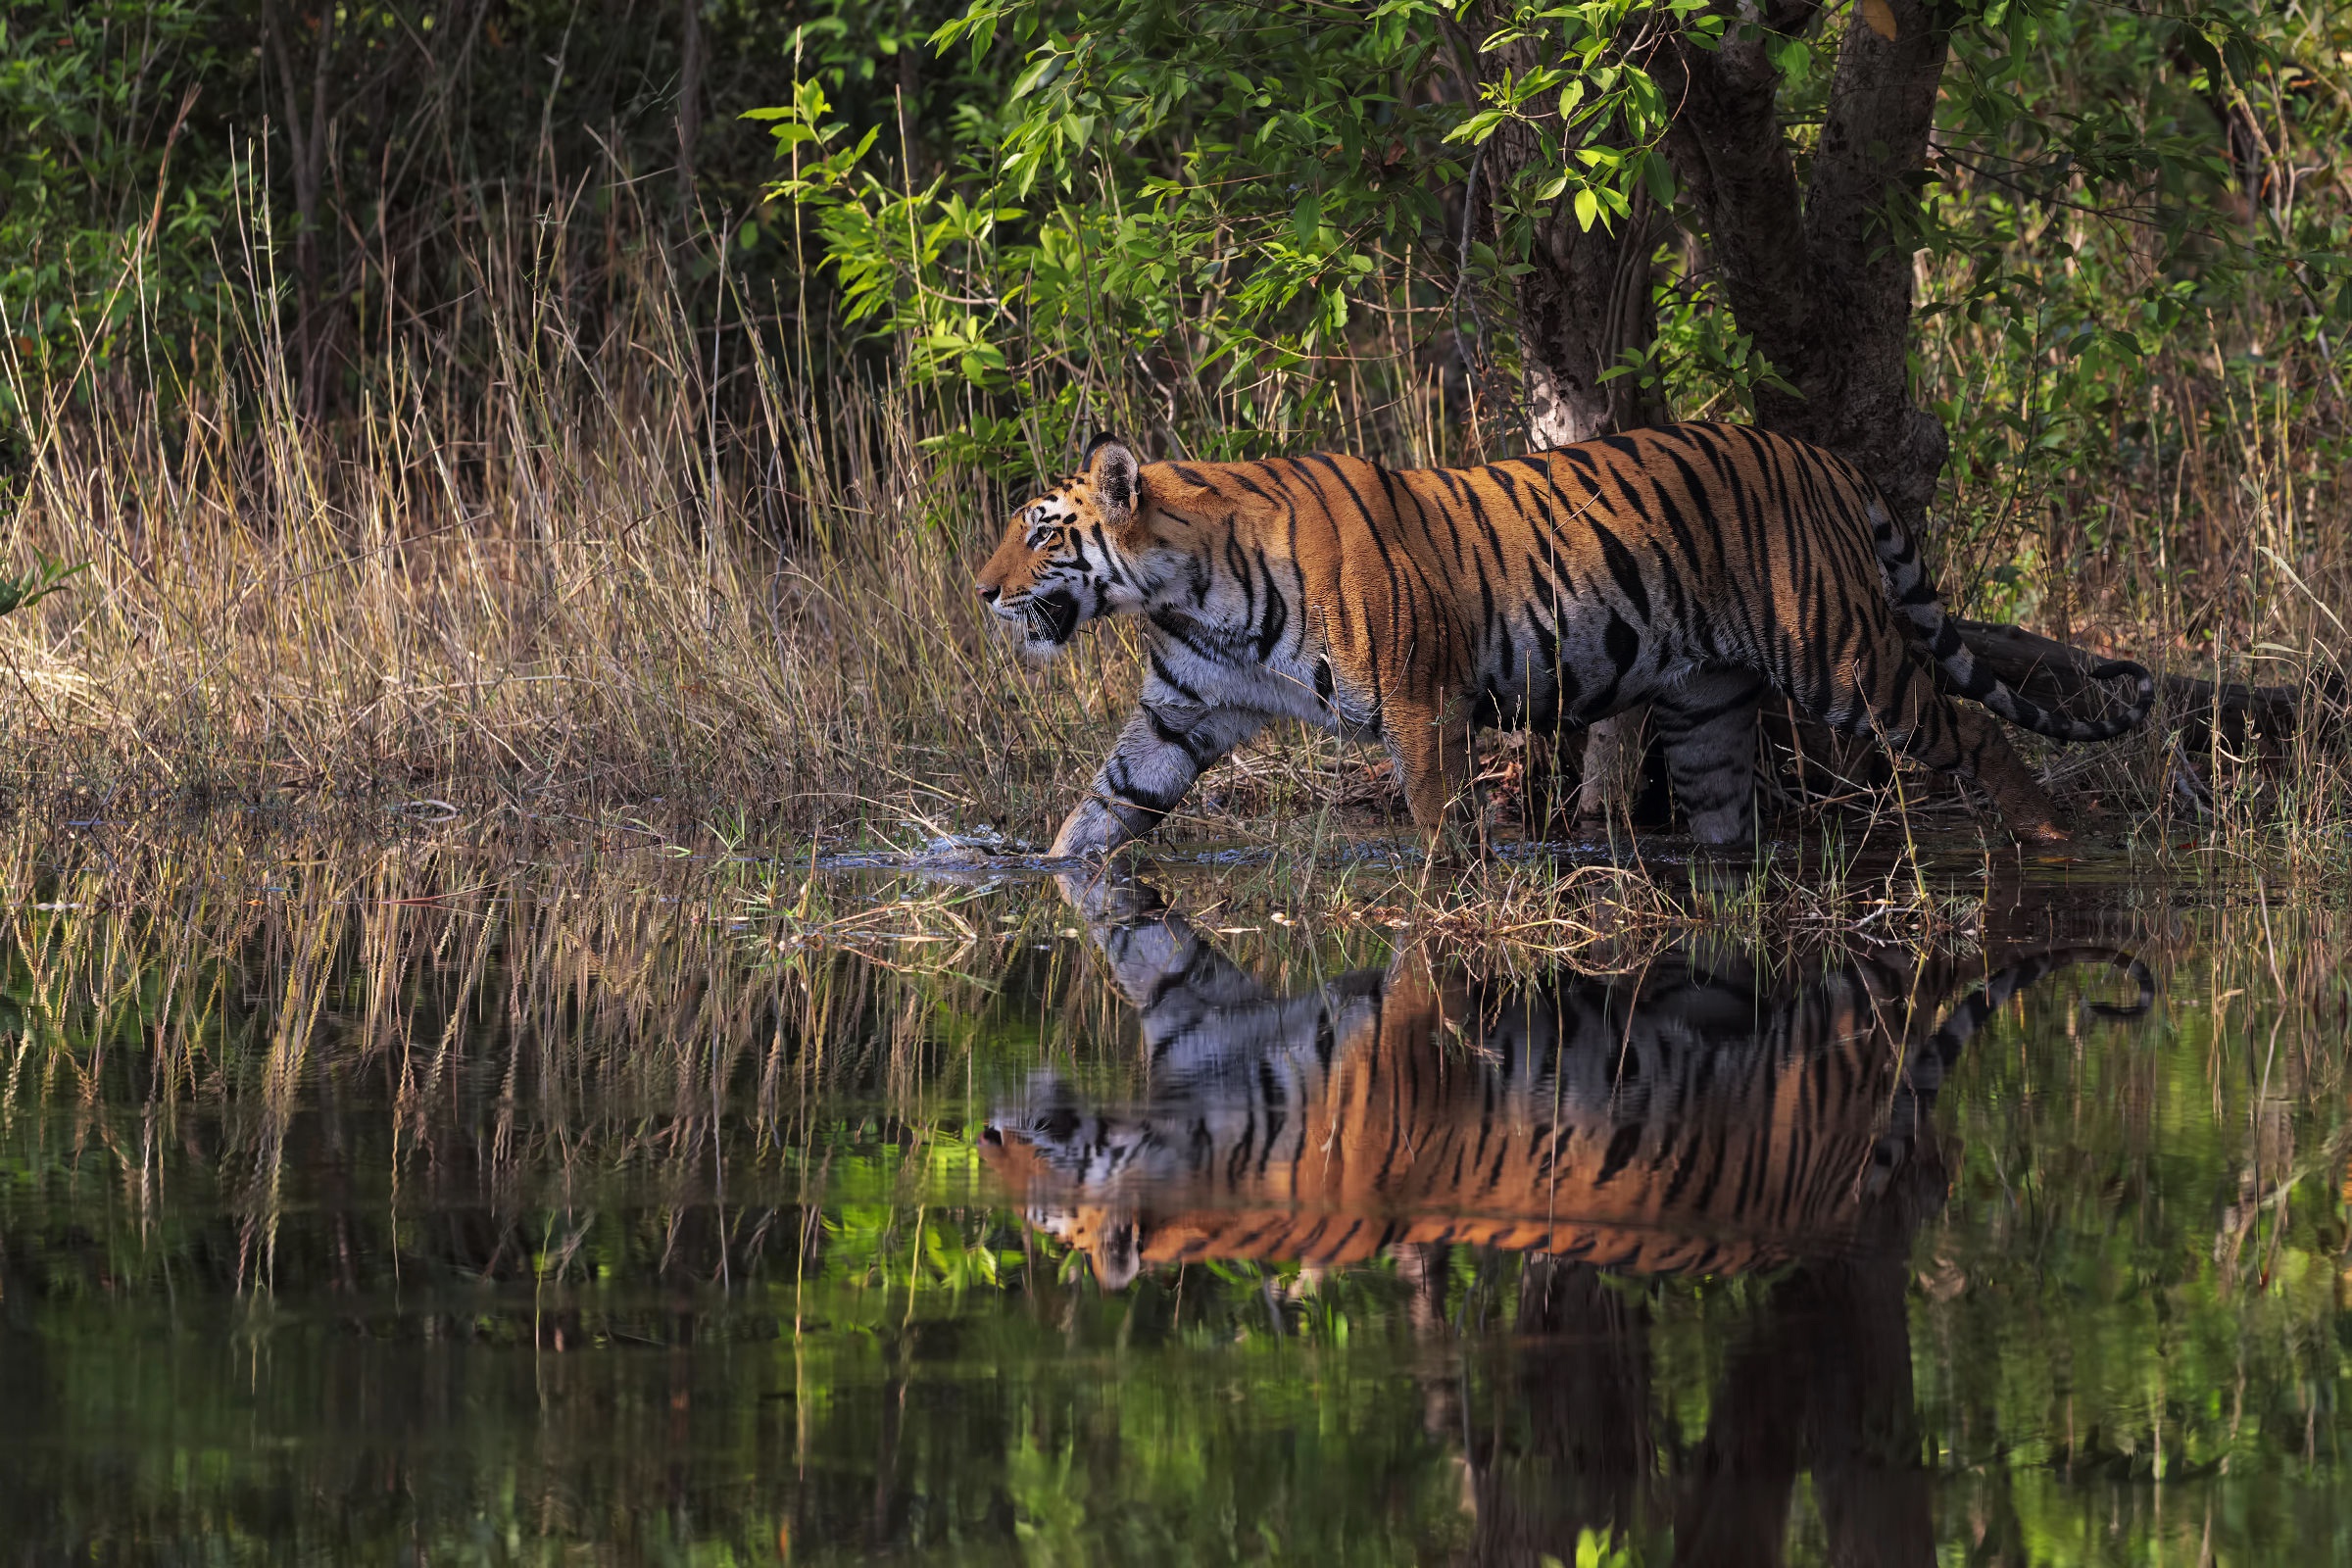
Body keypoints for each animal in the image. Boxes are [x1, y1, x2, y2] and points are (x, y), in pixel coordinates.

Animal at [972, 422, 2155, 856]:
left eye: (1039, 532)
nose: (981, 593)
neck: (1186, 592)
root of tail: (1814, 450)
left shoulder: (1424, 700)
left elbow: (1438, 819)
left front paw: (1447, 895)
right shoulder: (1182, 710)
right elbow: (1103, 805)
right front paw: (1046, 873)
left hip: (1841, 657)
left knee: (1971, 724)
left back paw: (2052, 838)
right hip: (1707, 704)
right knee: (1725, 811)